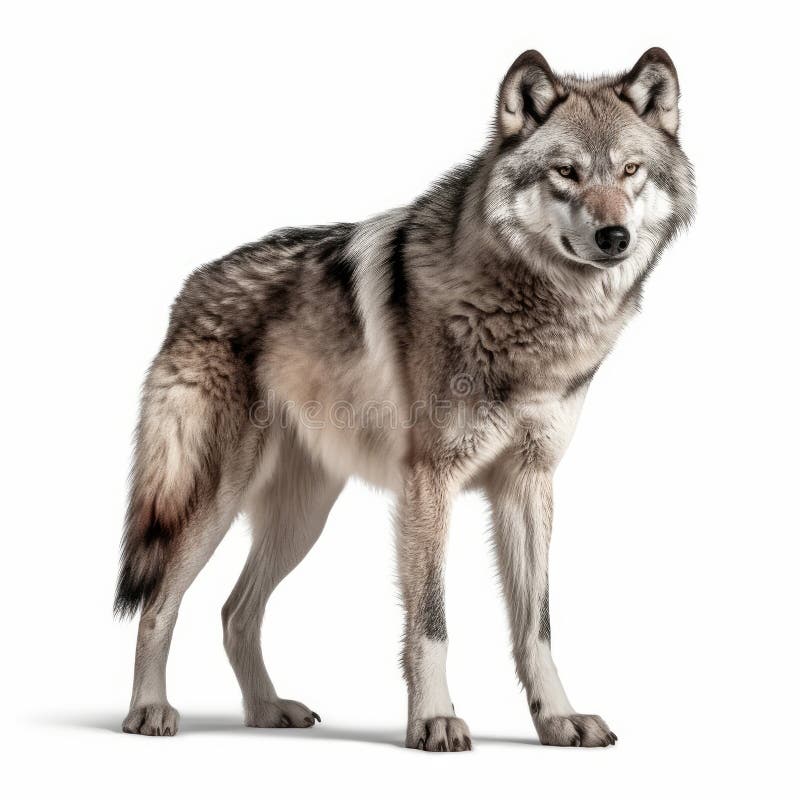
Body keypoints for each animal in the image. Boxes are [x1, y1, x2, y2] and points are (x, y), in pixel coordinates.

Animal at [116, 47, 694, 749]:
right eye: (567, 172)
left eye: (631, 170)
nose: (614, 237)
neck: (532, 320)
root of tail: (187, 290)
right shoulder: (430, 482)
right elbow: (431, 623)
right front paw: (434, 720)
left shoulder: (528, 483)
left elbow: (537, 626)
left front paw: (557, 719)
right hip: (212, 501)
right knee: (158, 604)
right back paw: (149, 711)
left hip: (303, 518)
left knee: (235, 612)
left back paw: (267, 711)